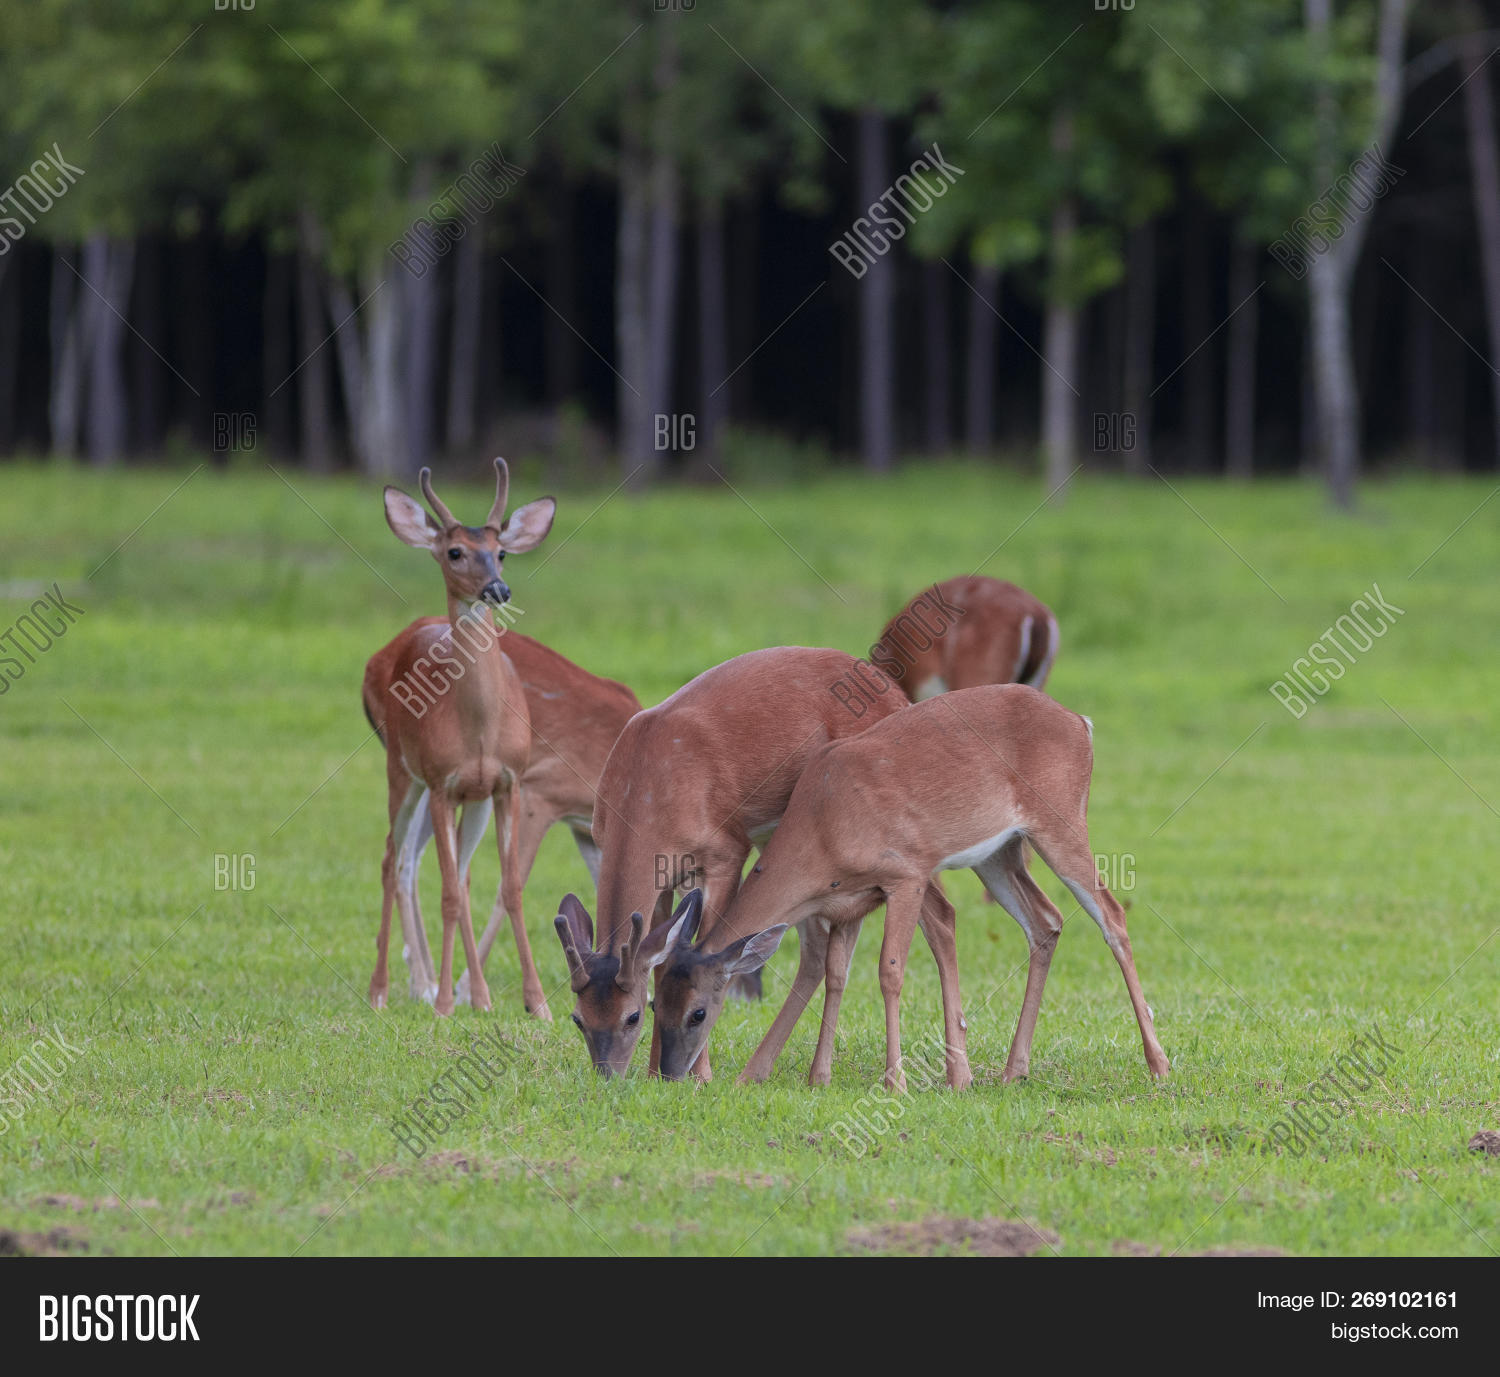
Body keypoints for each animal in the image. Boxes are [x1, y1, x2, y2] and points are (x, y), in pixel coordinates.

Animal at [363, 622, 640, 1011]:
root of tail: (372, 663)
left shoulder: (586, 829)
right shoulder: (540, 792)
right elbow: (508, 884)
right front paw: (468, 988)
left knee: (415, 858)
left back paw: (424, 979)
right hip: (417, 771)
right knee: (404, 856)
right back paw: (421, 984)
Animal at [369, 458, 556, 1018]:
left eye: (501, 551)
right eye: (454, 551)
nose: (498, 589)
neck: (478, 730)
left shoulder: (506, 782)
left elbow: (509, 888)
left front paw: (537, 1003)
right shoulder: (440, 781)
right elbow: (448, 893)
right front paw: (444, 1004)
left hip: (471, 802)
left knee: (464, 875)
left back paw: (481, 995)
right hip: (401, 772)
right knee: (393, 859)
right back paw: (383, 990)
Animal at [551, 645, 969, 1085]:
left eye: (631, 1016)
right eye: (577, 1019)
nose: (606, 1076)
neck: (646, 796)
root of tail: (897, 693)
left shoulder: (727, 850)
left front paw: (701, 1077)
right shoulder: (662, 875)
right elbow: (662, 964)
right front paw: (655, 1073)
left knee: (941, 915)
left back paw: (958, 1074)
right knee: (819, 949)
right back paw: (774, 1071)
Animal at [647, 682, 1169, 1091]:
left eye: (698, 1012)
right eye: (654, 1004)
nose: (670, 1073)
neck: (823, 825)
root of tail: (1081, 722)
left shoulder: (906, 874)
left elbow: (889, 971)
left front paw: (893, 1081)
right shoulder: (848, 903)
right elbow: (836, 974)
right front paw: (819, 1077)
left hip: (1061, 821)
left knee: (1111, 915)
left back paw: (1158, 1063)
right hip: (998, 853)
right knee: (1045, 920)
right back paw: (1012, 1070)